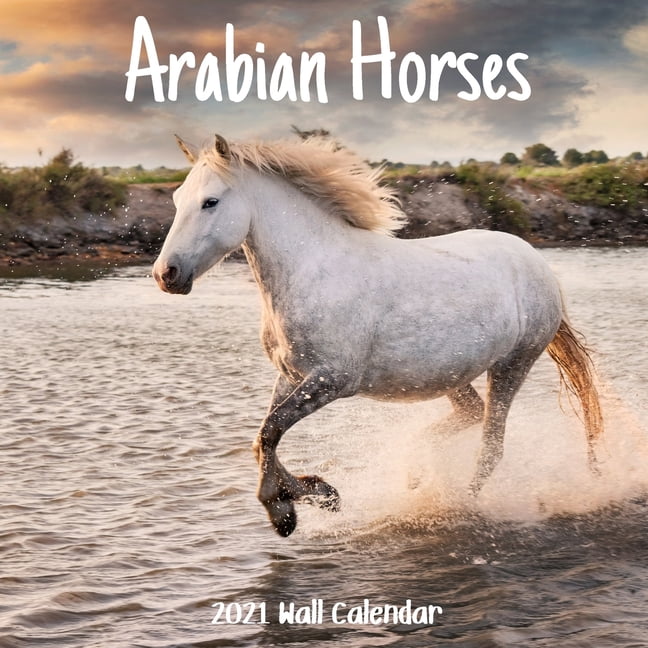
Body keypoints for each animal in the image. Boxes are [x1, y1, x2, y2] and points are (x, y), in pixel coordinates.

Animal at [152, 134, 603, 537]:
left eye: (210, 202)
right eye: (177, 200)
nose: (165, 274)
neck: (313, 272)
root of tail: (537, 262)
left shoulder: (332, 380)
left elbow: (270, 431)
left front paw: (286, 511)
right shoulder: (291, 376)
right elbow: (263, 437)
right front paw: (319, 494)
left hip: (512, 365)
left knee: (491, 446)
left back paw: (456, 502)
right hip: (448, 375)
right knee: (470, 416)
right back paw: (416, 473)